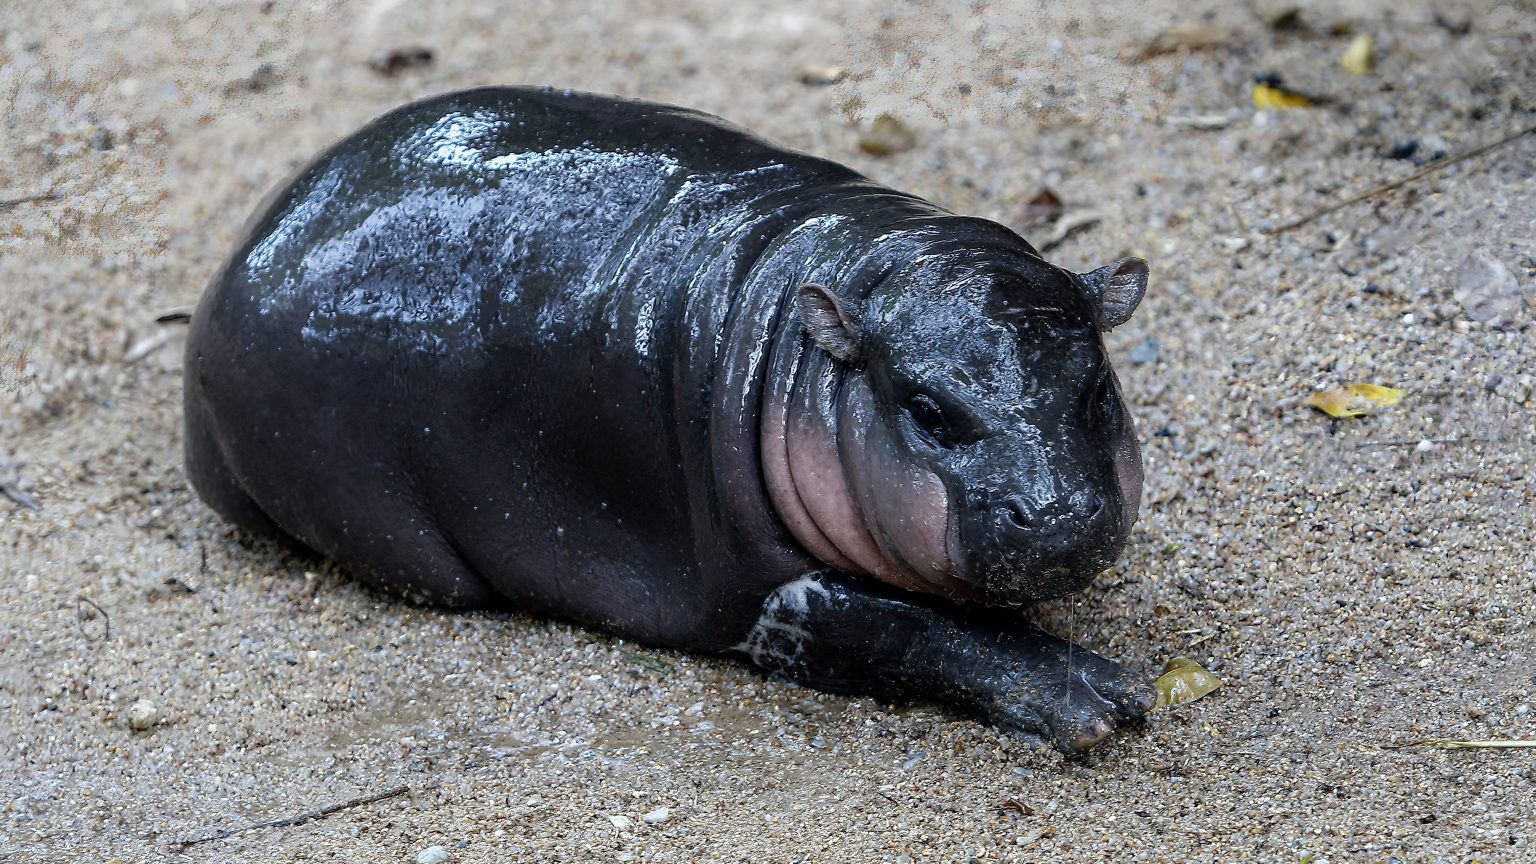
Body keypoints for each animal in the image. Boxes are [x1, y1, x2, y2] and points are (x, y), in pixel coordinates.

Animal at [184, 86, 1154, 752]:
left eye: (1098, 389)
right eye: (925, 409)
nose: (1059, 512)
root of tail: (240, 258)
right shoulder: (771, 602)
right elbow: (918, 628)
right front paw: (1097, 698)